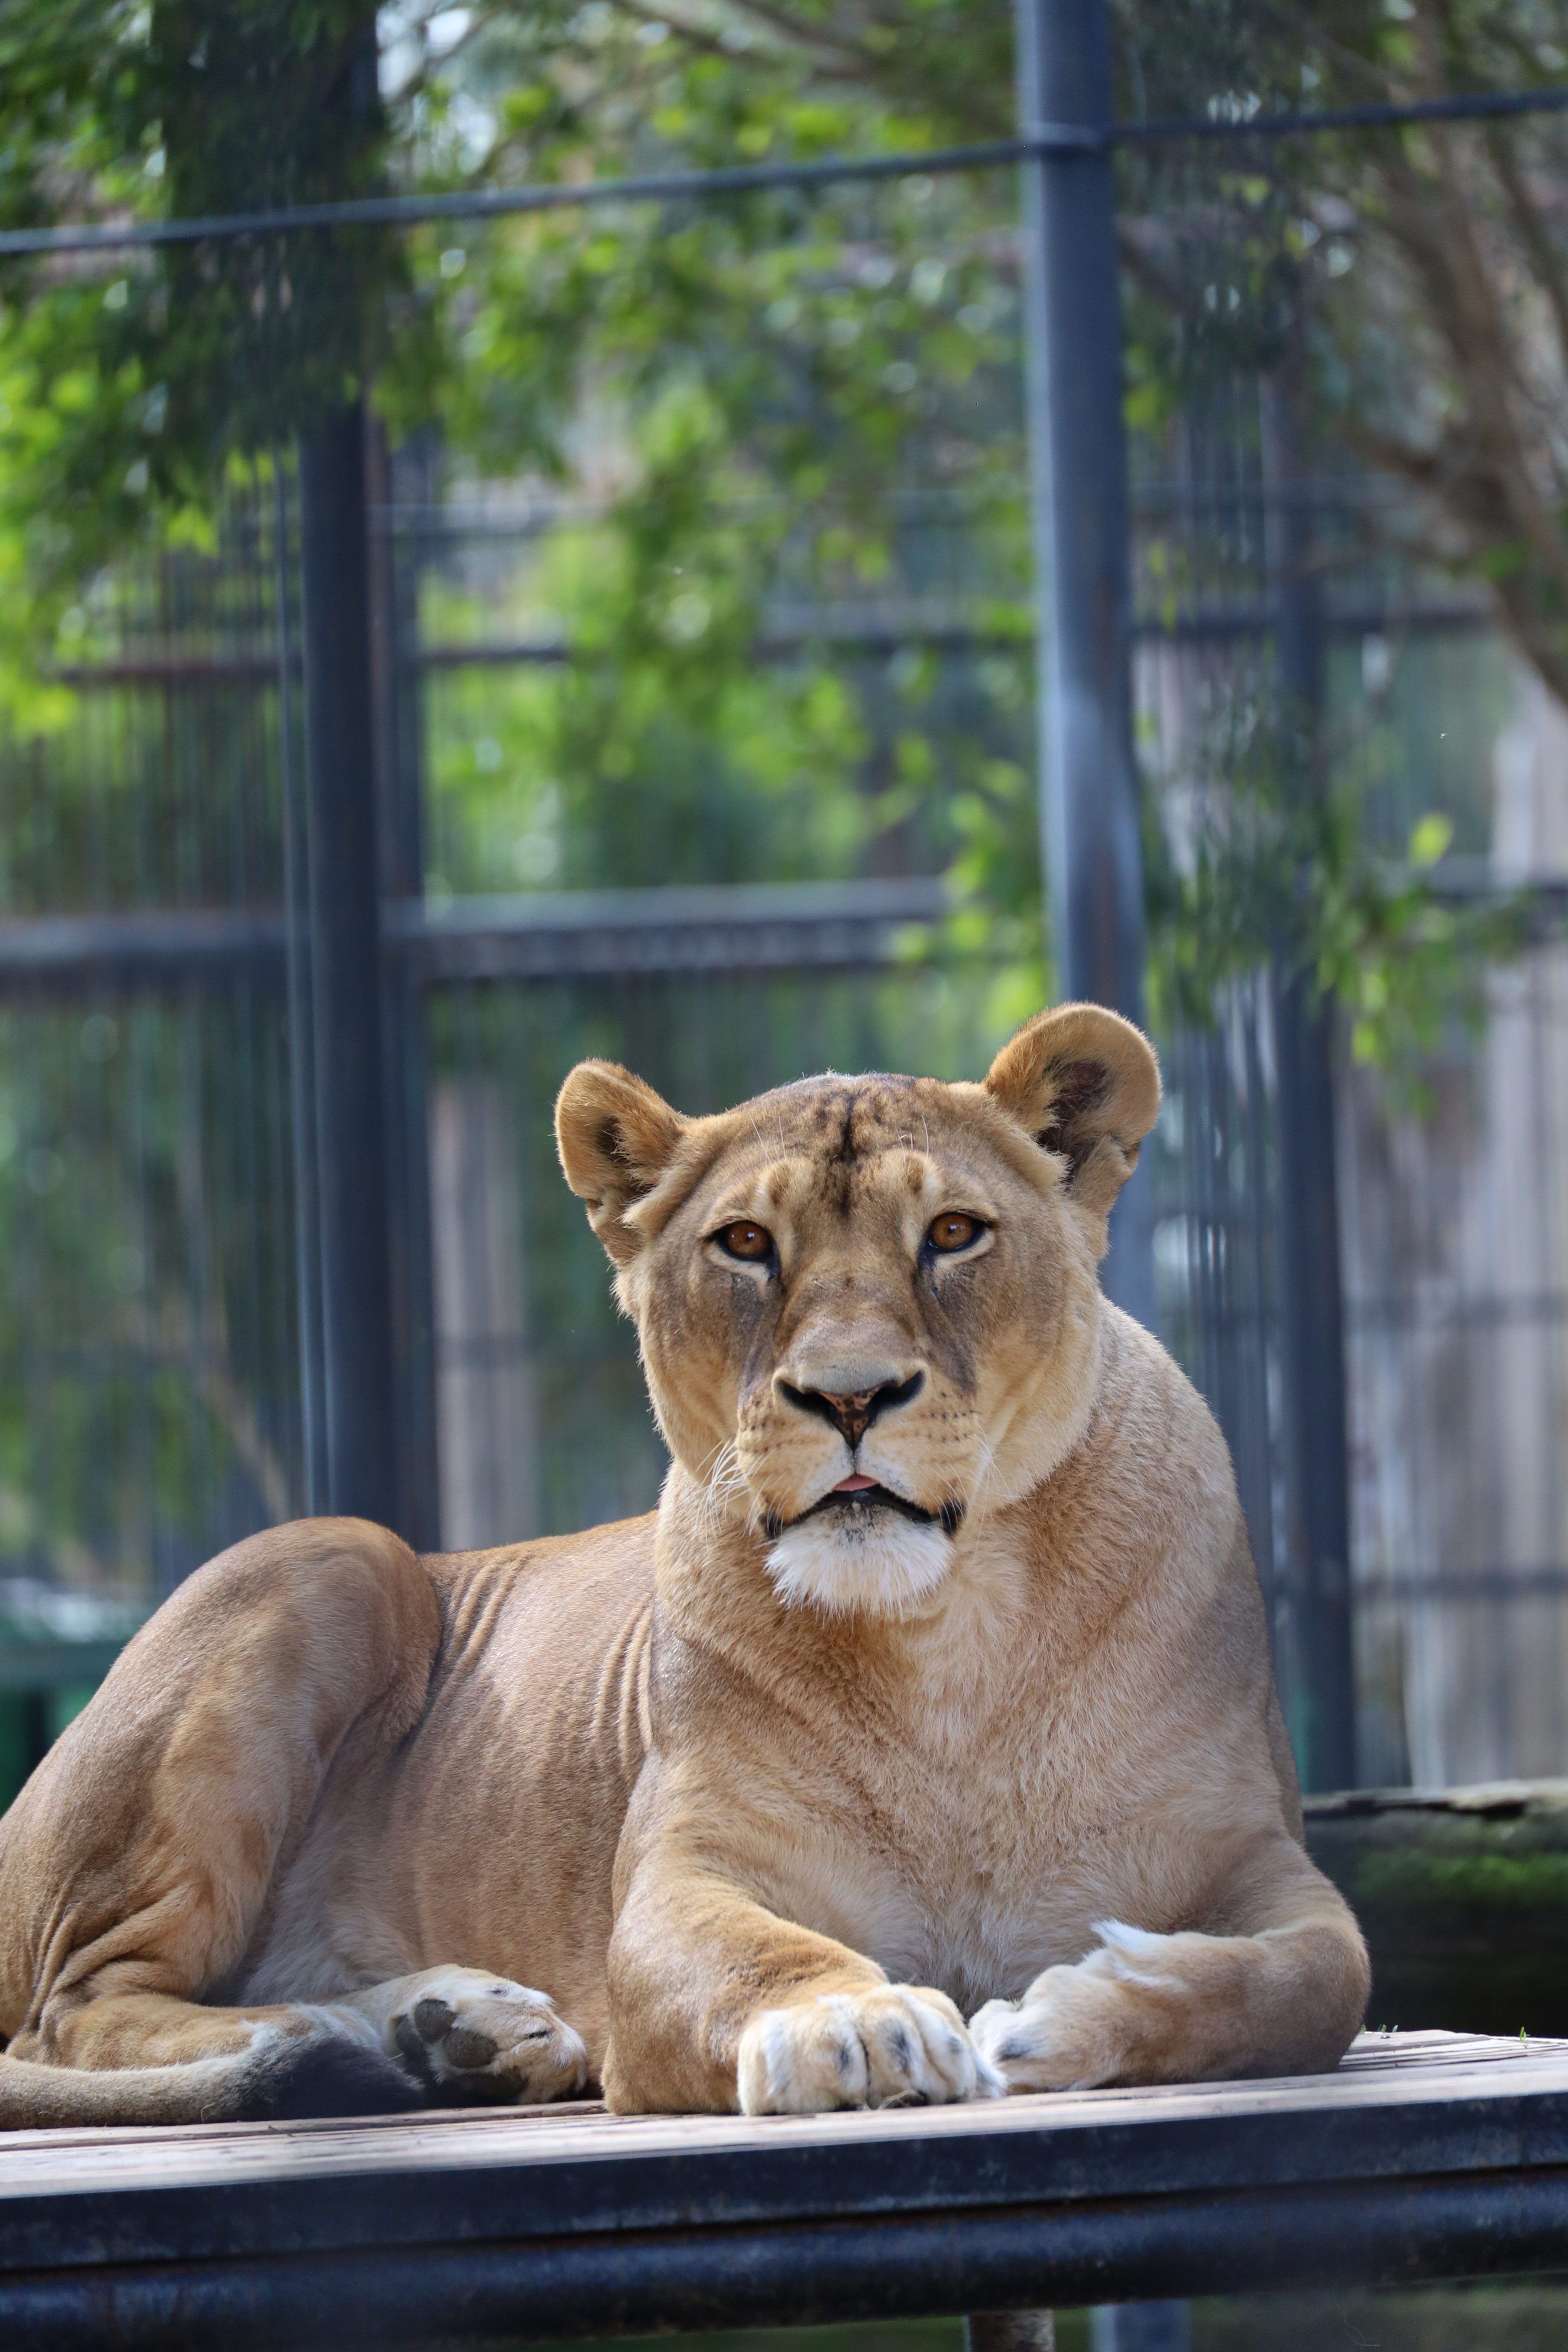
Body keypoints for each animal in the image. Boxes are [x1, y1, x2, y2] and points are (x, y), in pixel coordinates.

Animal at [0, 1003, 1368, 2127]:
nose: (849, 1396)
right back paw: (374, 2043)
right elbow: (757, 1954)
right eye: (748, 1243)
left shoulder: (1258, 1856)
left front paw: (1058, 2014)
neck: (948, 1644)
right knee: (74, 2011)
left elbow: (1319, 1974)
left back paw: (460, 2034)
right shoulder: (676, 1885)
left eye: (955, 1233)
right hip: (338, 1556)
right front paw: (851, 2023)